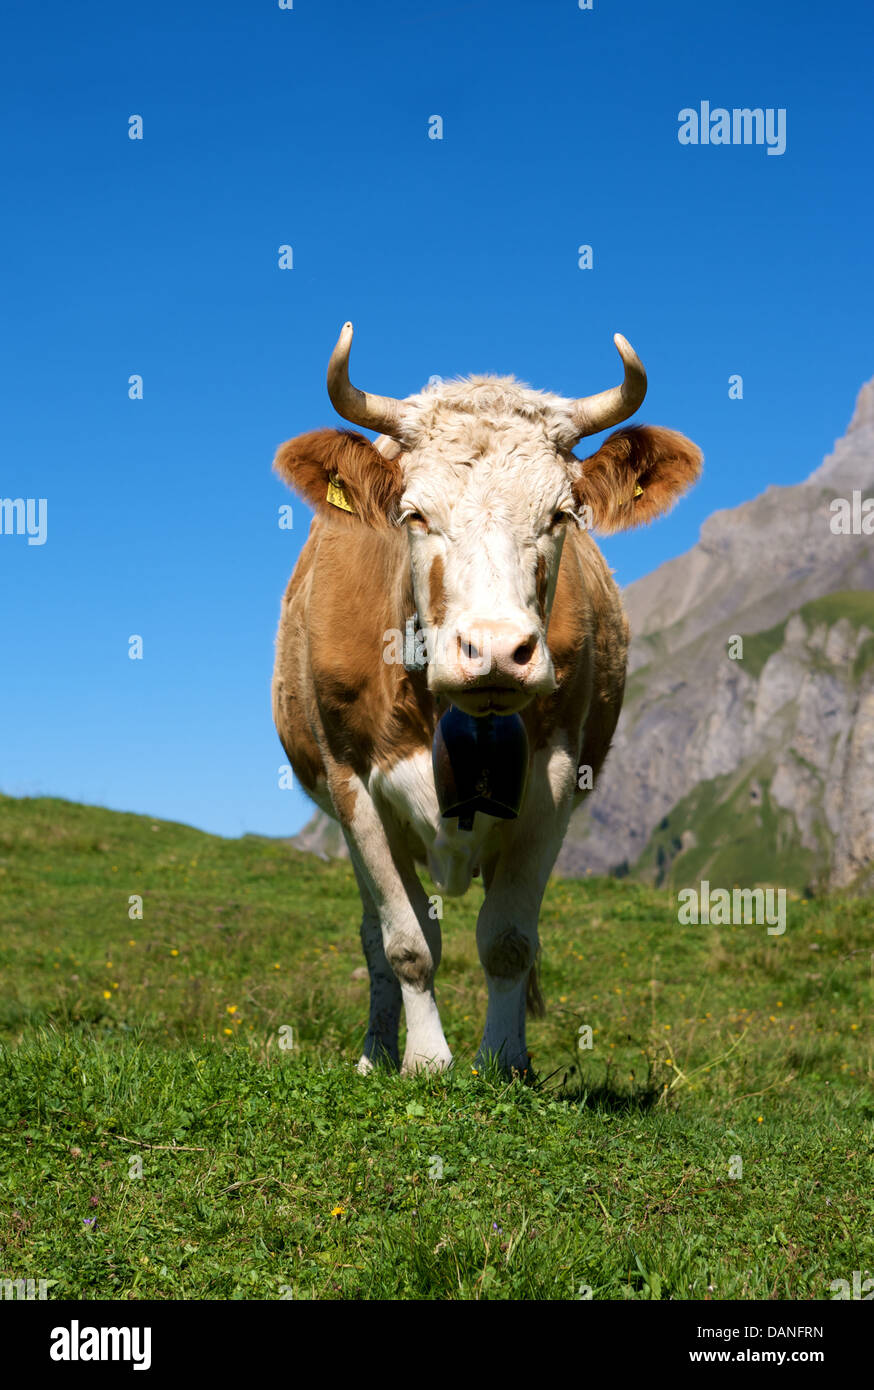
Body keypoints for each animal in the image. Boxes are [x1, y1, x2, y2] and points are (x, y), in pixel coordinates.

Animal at [272, 323, 701, 1077]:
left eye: (560, 516)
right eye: (414, 514)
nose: (498, 650)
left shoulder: (554, 778)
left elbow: (507, 940)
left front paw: (503, 1062)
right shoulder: (352, 784)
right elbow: (406, 945)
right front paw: (424, 1062)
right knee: (373, 936)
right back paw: (375, 1052)